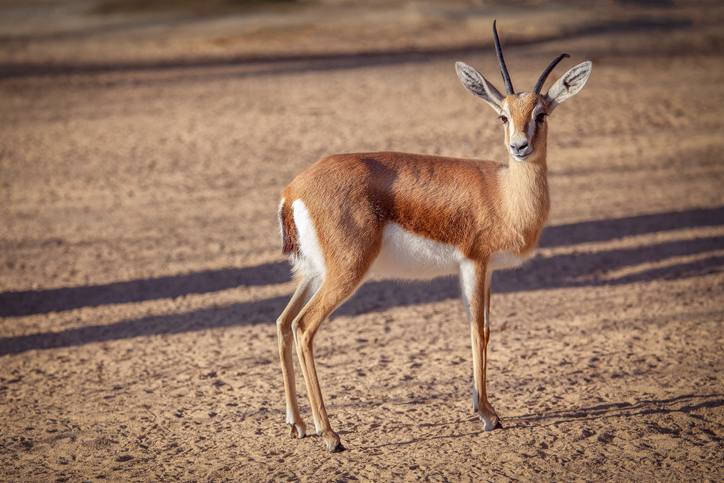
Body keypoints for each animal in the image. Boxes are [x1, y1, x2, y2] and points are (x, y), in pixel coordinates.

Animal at [275, 21, 592, 452]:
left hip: (313, 273)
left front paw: (487, 410)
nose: (520, 147)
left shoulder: (485, 269)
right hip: (345, 273)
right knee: (304, 327)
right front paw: (487, 415)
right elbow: (478, 329)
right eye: (503, 116)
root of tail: (295, 188)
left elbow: (485, 328)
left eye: (540, 113)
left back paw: (297, 425)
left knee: (282, 322)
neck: (503, 192)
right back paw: (331, 435)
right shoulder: (474, 262)